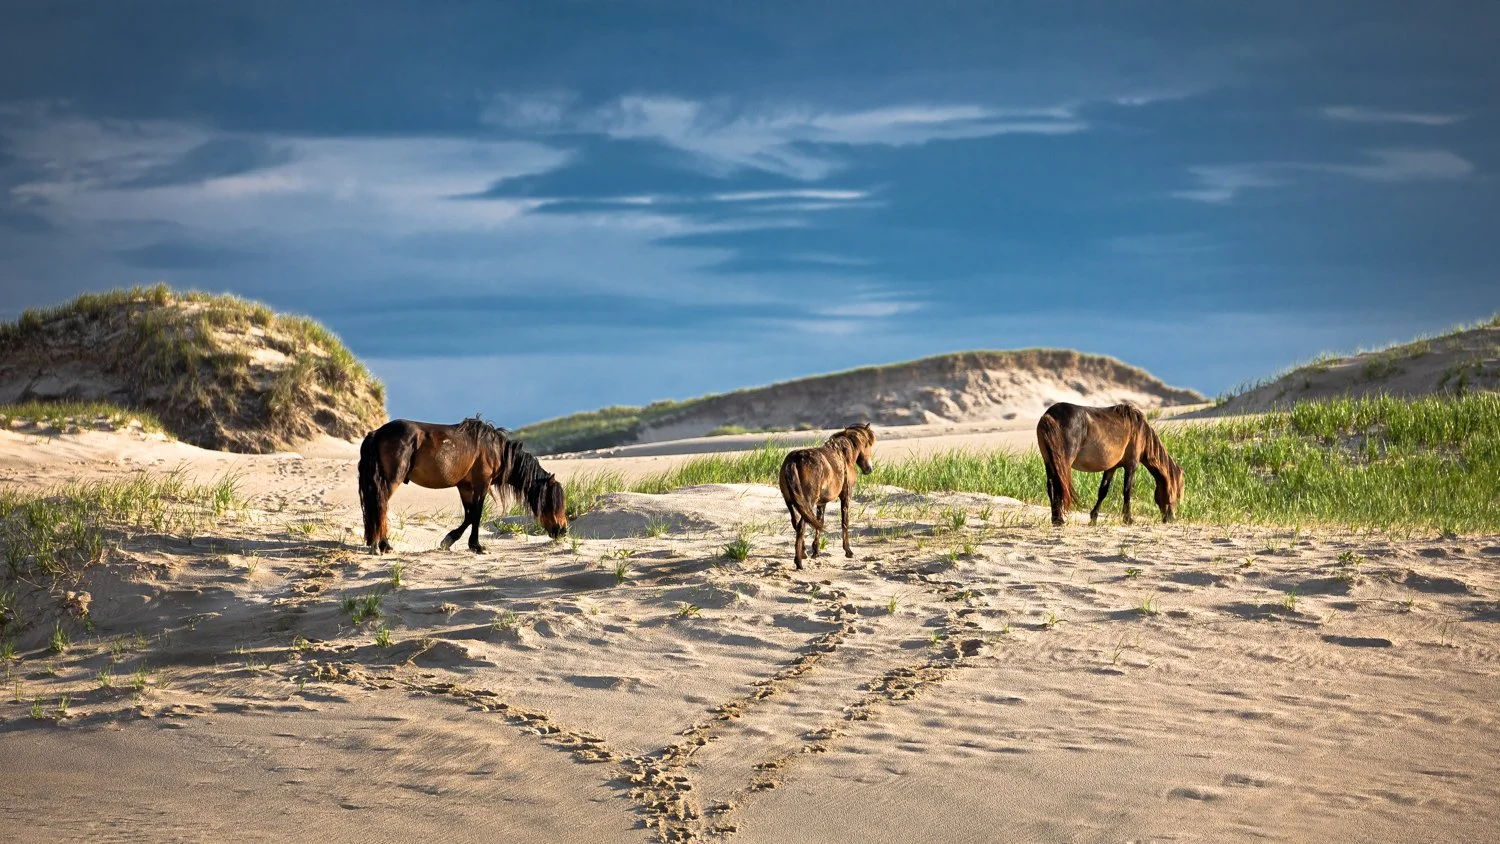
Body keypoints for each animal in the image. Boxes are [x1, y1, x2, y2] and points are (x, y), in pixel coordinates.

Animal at [357, 416, 567, 554]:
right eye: (552, 502)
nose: (562, 530)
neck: (495, 450)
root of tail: (376, 433)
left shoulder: (465, 487)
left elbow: (468, 515)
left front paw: (449, 540)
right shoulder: (482, 484)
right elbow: (476, 514)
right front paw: (476, 546)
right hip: (392, 480)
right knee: (381, 506)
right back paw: (383, 545)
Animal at [777, 423, 876, 569]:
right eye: (868, 444)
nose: (869, 469)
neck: (843, 455)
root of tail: (794, 459)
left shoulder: (821, 503)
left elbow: (819, 522)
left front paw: (816, 551)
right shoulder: (846, 496)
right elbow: (844, 522)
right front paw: (848, 551)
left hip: (791, 502)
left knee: (796, 524)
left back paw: (803, 553)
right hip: (807, 502)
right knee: (801, 526)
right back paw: (799, 562)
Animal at [1035, 403, 1184, 527]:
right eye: (1175, 492)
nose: (1171, 518)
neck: (1140, 430)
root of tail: (1050, 414)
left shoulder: (1111, 468)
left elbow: (1103, 491)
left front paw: (1093, 518)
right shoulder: (1131, 465)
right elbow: (1127, 490)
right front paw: (1128, 519)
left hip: (1049, 462)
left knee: (1051, 485)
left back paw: (1055, 519)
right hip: (1062, 462)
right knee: (1059, 485)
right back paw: (1059, 519)